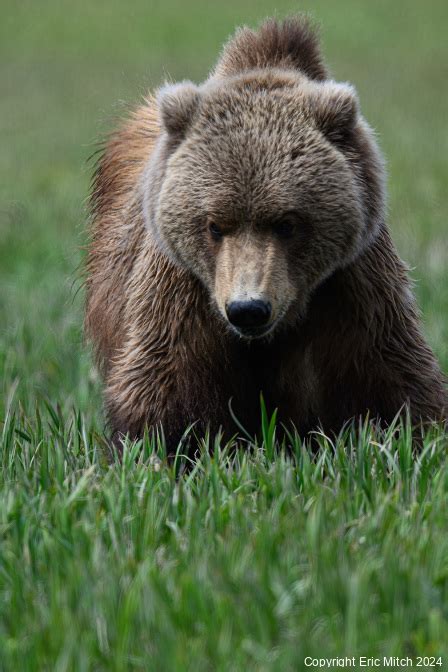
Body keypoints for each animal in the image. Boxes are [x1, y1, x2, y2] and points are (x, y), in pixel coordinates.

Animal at [85, 16, 447, 450]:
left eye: (287, 222)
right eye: (214, 224)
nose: (249, 308)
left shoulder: (353, 286)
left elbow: (391, 379)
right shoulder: (183, 292)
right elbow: (165, 388)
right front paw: (161, 445)